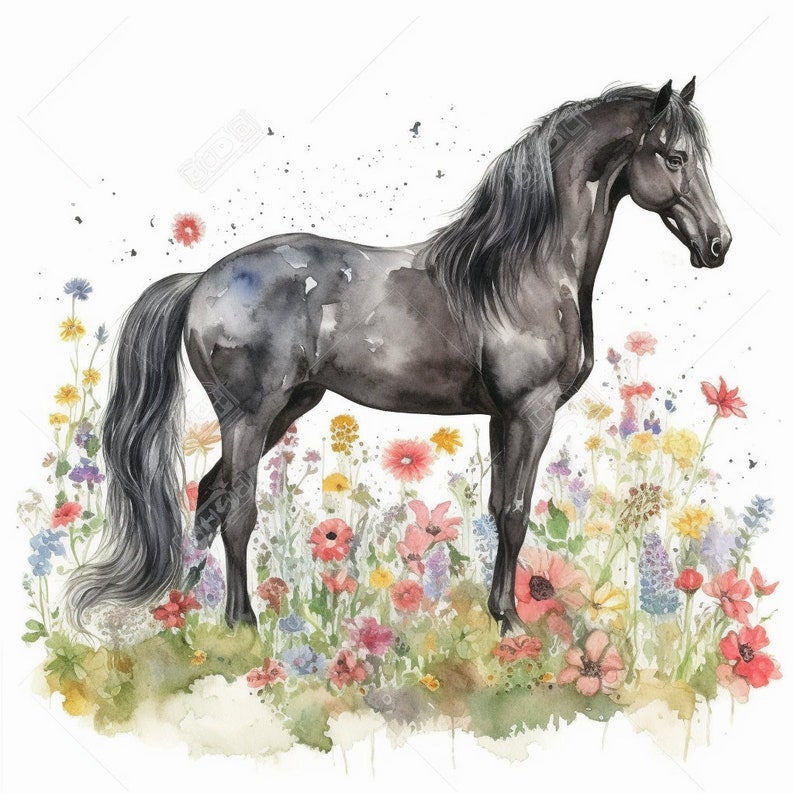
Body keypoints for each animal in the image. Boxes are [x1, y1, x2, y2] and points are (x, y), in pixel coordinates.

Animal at [66, 78, 730, 635]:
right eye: (675, 157)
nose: (718, 244)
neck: (520, 273)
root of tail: (202, 279)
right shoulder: (531, 412)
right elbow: (517, 513)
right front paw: (515, 626)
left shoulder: (501, 417)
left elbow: (498, 509)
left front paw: (496, 613)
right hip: (250, 417)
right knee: (235, 510)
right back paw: (242, 624)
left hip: (286, 408)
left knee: (207, 497)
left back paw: (181, 616)